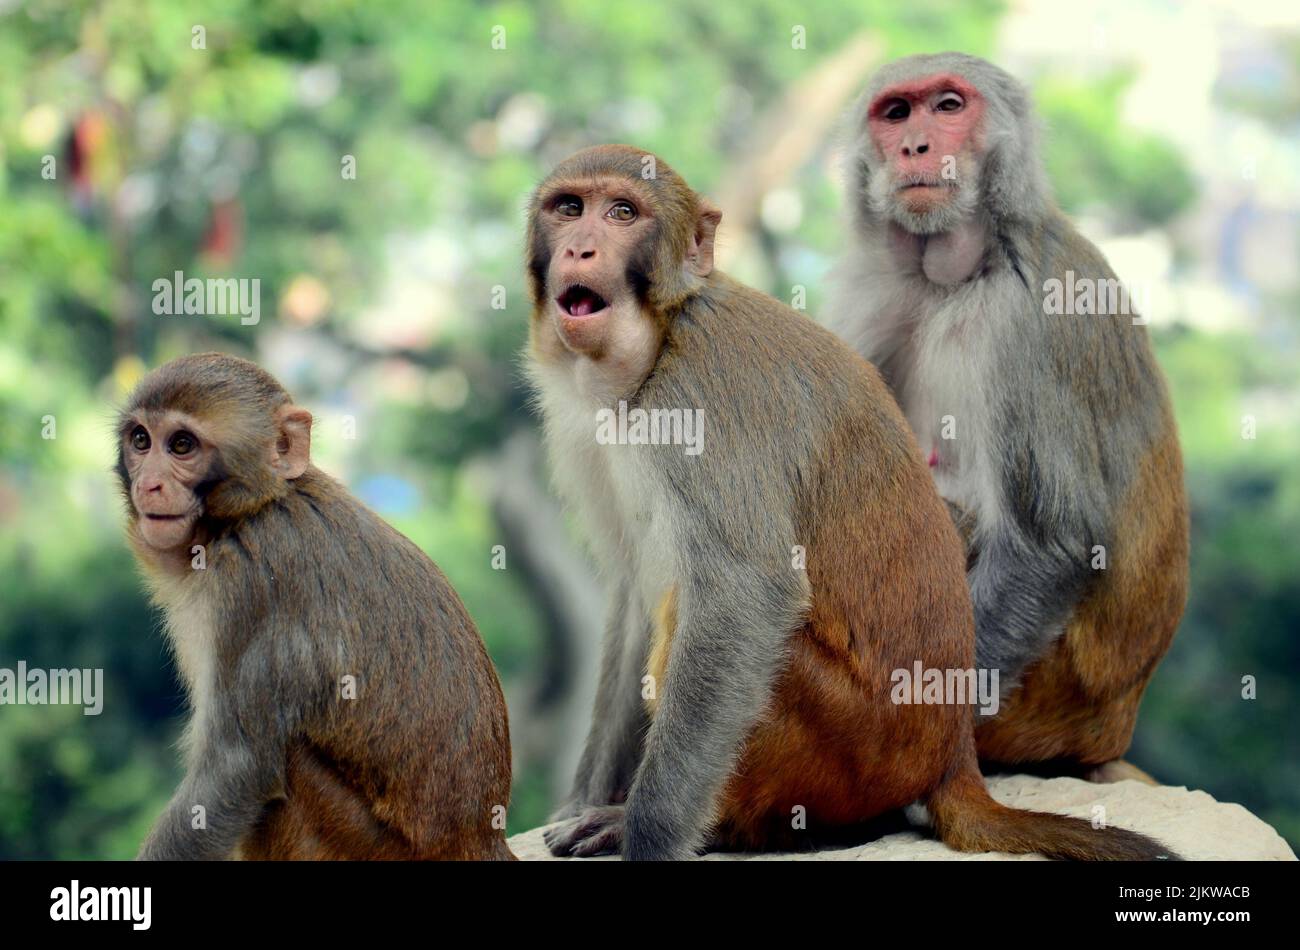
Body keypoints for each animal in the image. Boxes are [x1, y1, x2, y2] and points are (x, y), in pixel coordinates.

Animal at [118, 352, 514, 860]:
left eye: (182, 445)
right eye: (141, 441)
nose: (149, 484)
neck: (249, 512)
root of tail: (480, 839)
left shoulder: (249, 585)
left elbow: (232, 772)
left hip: (365, 843)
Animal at [525, 144, 1178, 860]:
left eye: (622, 212)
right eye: (569, 208)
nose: (581, 248)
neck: (655, 344)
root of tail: (952, 756)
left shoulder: (700, 399)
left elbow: (742, 597)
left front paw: (647, 834)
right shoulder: (587, 434)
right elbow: (635, 596)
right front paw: (587, 797)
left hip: (854, 745)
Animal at [826, 52, 1190, 785]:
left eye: (947, 106)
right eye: (896, 113)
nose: (915, 147)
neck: (956, 277)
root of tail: (1114, 728)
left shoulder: (1022, 321)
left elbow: (1049, 545)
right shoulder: (874, 294)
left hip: (1049, 698)